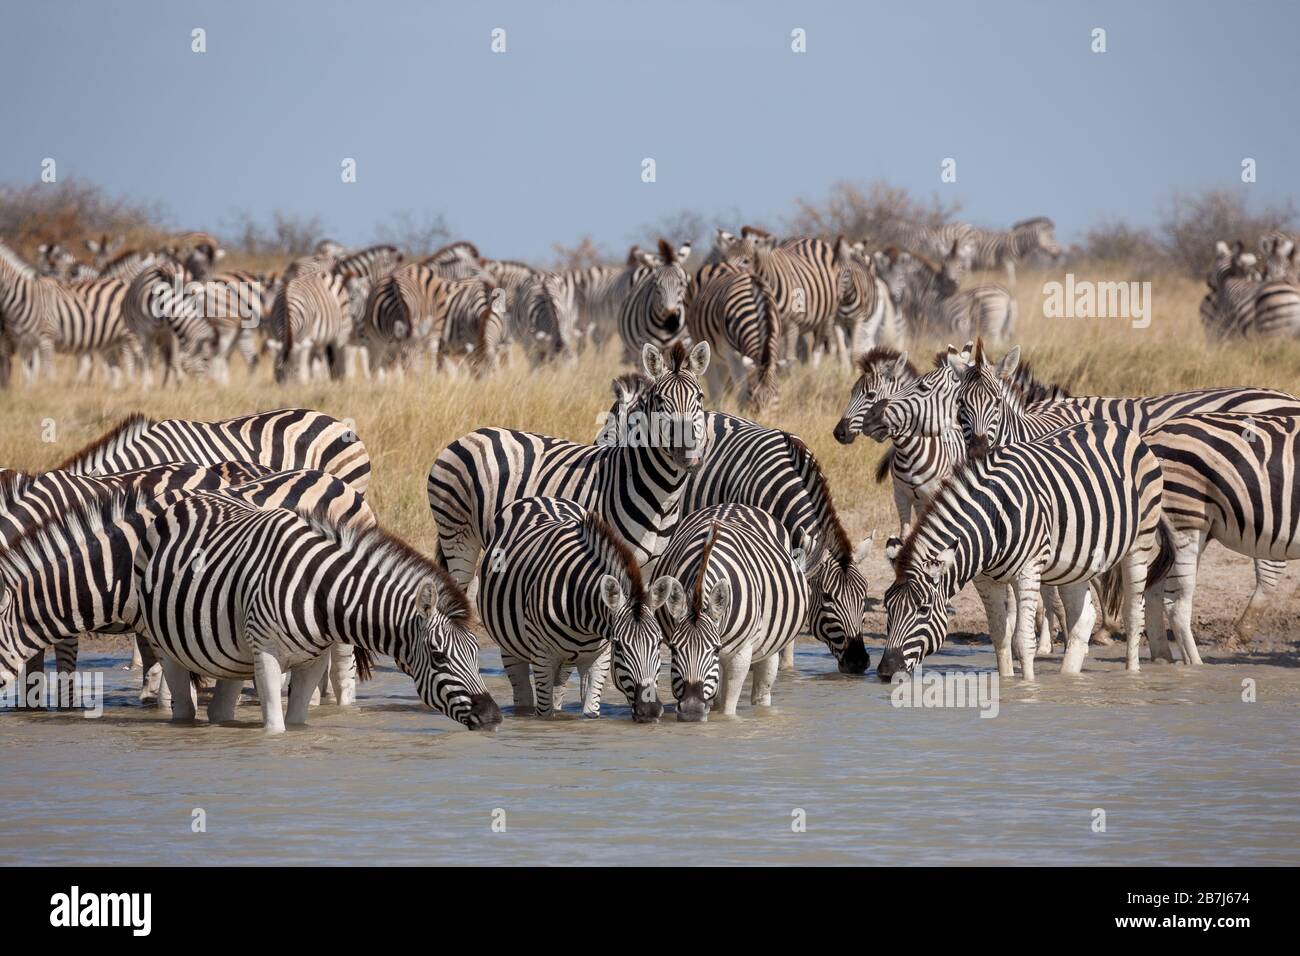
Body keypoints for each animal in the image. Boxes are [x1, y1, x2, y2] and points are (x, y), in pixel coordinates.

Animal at [132, 492, 501, 733]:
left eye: (476, 653)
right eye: (439, 656)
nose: (493, 716)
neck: (320, 592)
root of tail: (182, 501)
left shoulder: (313, 661)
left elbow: (296, 724)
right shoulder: (266, 656)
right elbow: (275, 729)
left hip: (229, 656)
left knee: (220, 709)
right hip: (164, 642)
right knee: (183, 705)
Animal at [478, 496, 673, 720]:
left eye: (658, 642)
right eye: (619, 646)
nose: (650, 711)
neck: (586, 621)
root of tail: (540, 498)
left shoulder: (599, 658)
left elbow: (590, 711)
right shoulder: (543, 656)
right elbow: (544, 715)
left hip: (565, 661)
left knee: (558, 691)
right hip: (510, 648)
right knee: (522, 694)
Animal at [654, 504, 811, 718]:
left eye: (714, 648)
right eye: (674, 649)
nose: (692, 711)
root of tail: (734, 504)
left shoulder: (740, 653)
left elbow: (728, 710)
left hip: (769, 645)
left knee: (762, 690)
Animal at [685, 260, 780, 410]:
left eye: (776, 401)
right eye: (752, 398)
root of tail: (718, 263)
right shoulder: (732, 353)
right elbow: (740, 389)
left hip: (722, 358)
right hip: (705, 344)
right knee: (715, 388)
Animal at [1142, 413, 1300, 659]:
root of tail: (1151, 434)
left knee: (1153, 591)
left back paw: (1162, 658)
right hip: (1186, 519)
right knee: (1176, 604)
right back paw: (1194, 664)